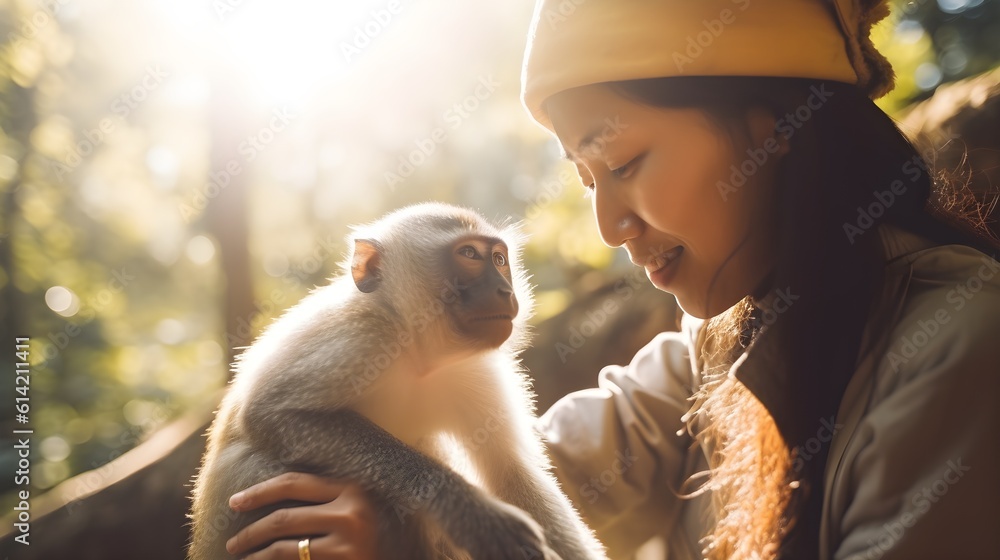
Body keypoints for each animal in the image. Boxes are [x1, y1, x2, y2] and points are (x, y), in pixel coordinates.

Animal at [188, 203, 607, 560]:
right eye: (470, 255)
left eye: (500, 260)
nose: (506, 291)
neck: (417, 352)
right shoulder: (363, 335)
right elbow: (272, 413)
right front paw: (472, 514)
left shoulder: (476, 369)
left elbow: (511, 472)